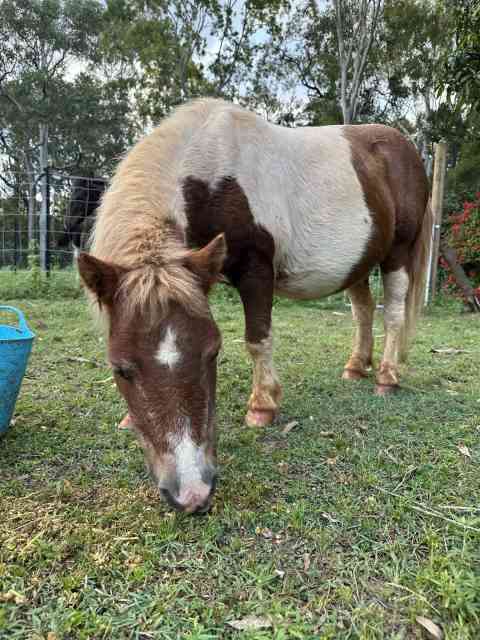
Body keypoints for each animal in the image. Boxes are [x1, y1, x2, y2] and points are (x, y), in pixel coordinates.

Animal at [77, 98, 432, 514]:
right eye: (119, 368)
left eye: (212, 353)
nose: (192, 493)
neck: (211, 175)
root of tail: (405, 147)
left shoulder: (256, 269)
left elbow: (257, 339)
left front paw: (262, 406)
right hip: (359, 263)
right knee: (363, 311)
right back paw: (356, 366)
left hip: (398, 253)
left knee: (392, 315)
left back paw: (387, 378)